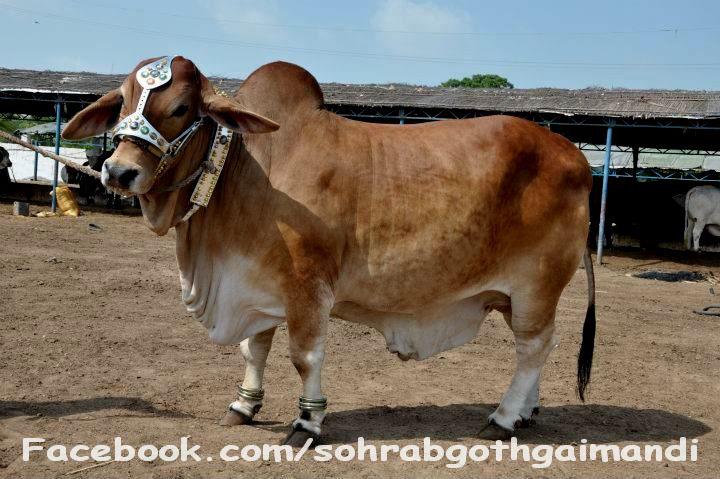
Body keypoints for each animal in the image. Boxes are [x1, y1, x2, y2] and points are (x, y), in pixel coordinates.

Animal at [62, 56, 596, 445]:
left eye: (179, 109)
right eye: (123, 101)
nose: (118, 171)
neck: (248, 167)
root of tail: (575, 157)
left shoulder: (307, 284)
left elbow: (305, 356)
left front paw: (306, 424)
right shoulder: (258, 280)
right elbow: (254, 347)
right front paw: (244, 404)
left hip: (537, 284)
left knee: (533, 347)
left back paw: (502, 419)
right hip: (513, 295)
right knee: (537, 351)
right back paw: (526, 412)